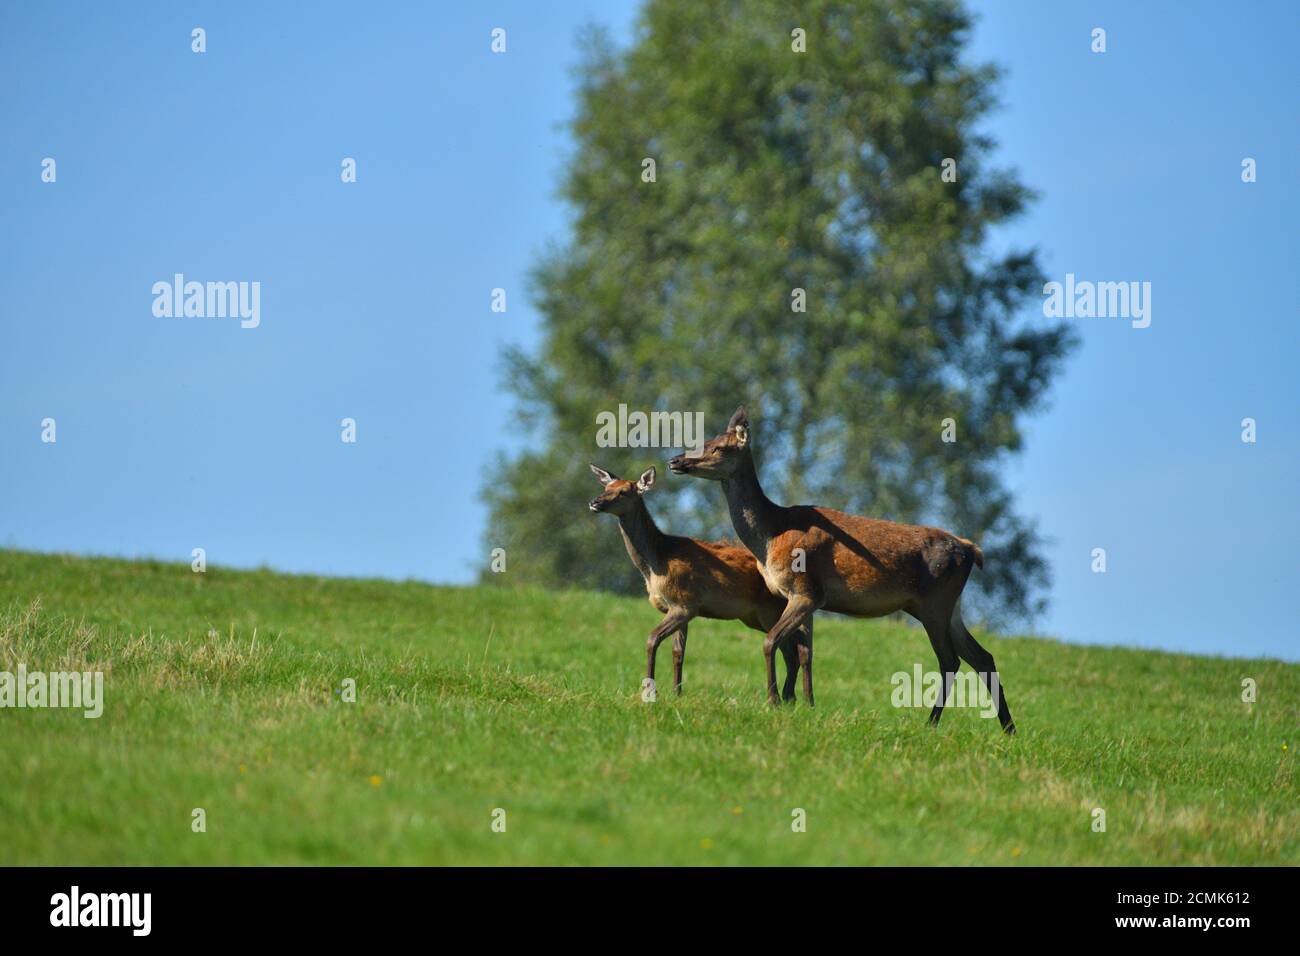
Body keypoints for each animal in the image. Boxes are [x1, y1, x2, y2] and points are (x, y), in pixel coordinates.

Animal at [588, 463, 813, 704]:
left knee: (795, 647)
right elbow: (678, 652)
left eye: (623, 492)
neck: (657, 561)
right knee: (792, 648)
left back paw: (791, 698)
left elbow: (652, 639)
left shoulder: (684, 603)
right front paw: (677, 693)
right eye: (606, 487)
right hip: (755, 616)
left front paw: (651, 692)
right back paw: (791, 698)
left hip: (770, 610)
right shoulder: (681, 608)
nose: (595, 502)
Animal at [668, 407, 1015, 734]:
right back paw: (1008, 729)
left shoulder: (807, 590)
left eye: (719, 448)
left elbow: (771, 642)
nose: (675, 460)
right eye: (704, 439)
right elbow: (805, 652)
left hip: (935, 602)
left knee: (950, 660)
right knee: (982, 657)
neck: (770, 536)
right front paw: (804, 704)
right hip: (948, 606)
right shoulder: (805, 598)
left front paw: (775, 701)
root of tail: (971, 550)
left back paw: (931, 723)